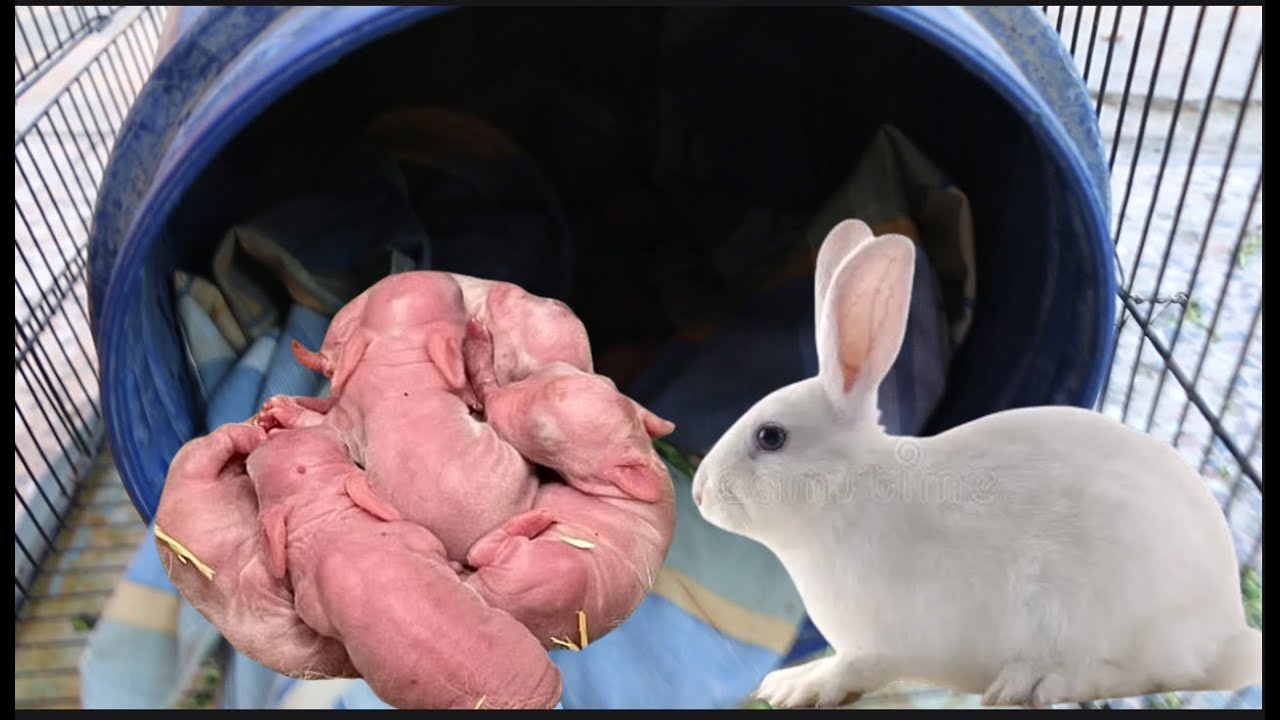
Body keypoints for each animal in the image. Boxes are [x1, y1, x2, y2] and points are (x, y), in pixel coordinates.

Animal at [690, 219, 1262, 708]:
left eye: (770, 437)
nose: (699, 492)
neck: (845, 491)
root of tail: (1227, 627)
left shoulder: (880, 644)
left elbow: (849, 670)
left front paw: (794, 687)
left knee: (1133, 673)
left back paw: (1028, 682)